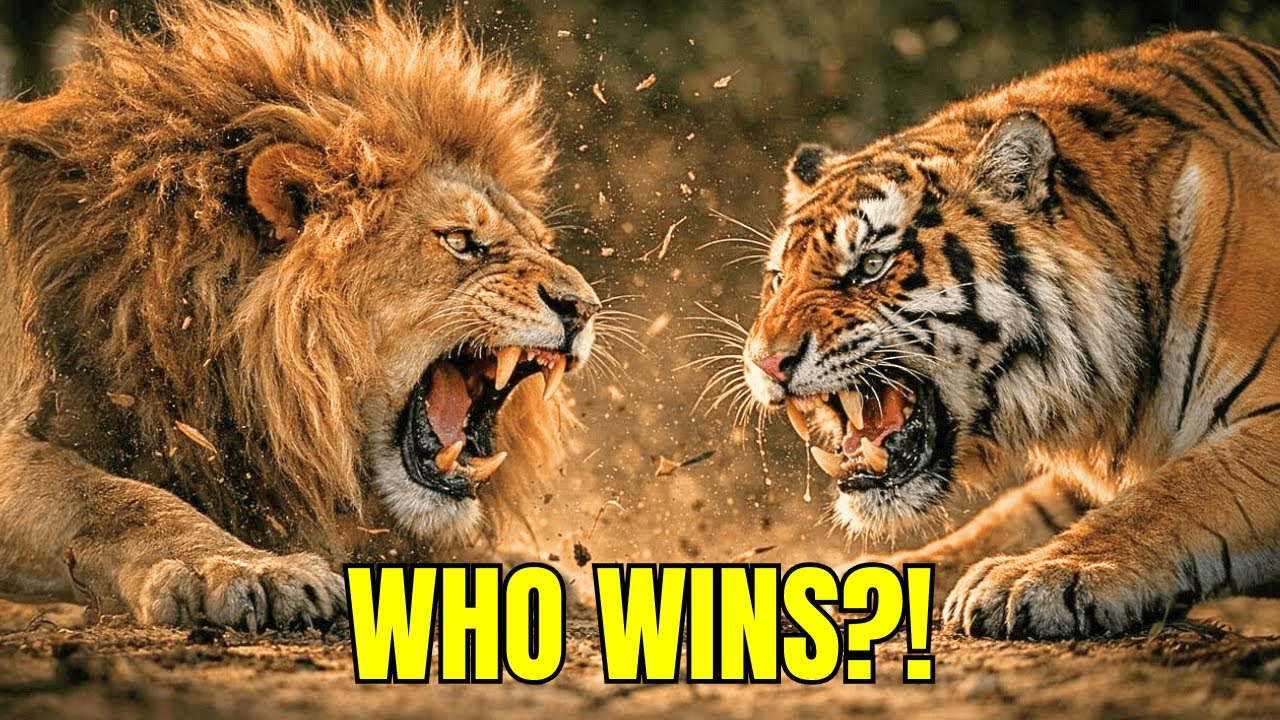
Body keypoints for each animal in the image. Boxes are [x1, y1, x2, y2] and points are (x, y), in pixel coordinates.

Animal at [741, 31, 1280, 639]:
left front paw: (1034, 575)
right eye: (778, 279)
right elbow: (1011, 515)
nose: (764, 363)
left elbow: (1170, 495)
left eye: (872, 265)